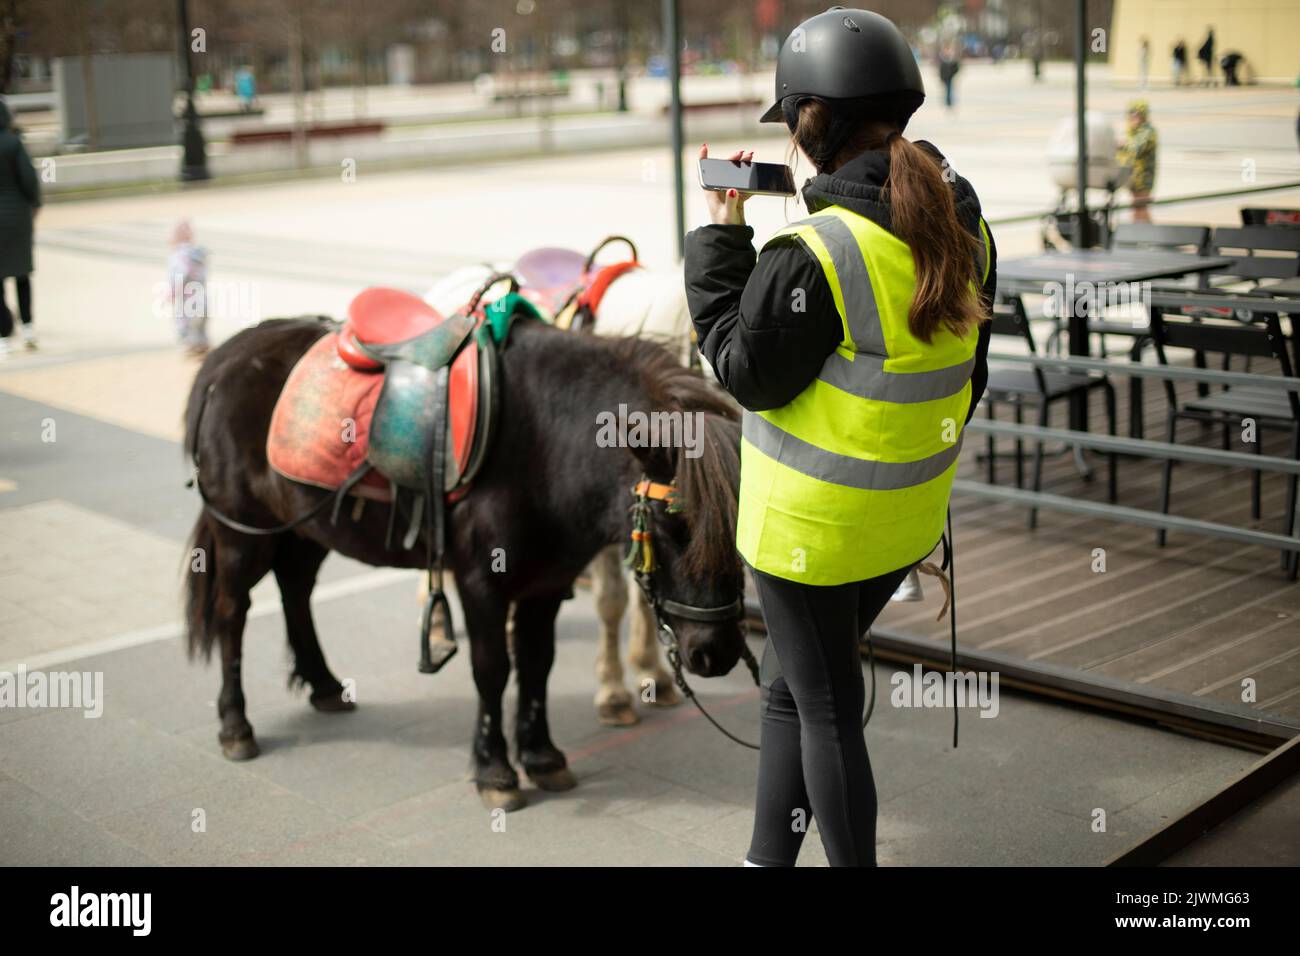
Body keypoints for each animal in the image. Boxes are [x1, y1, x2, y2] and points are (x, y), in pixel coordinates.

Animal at [182, 314, 746, 811]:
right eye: (669, 524)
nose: (716, 652)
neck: (545, 442)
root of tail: (227, 356)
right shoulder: (481, 582)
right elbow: (492, 669)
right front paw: (496, 770)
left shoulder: (547, 582)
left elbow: (537, 665)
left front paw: (541, 756)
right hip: (241, 530)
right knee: (232, 612)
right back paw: (235, 724)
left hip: (305, 524)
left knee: (295, 588)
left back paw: (323, 685)